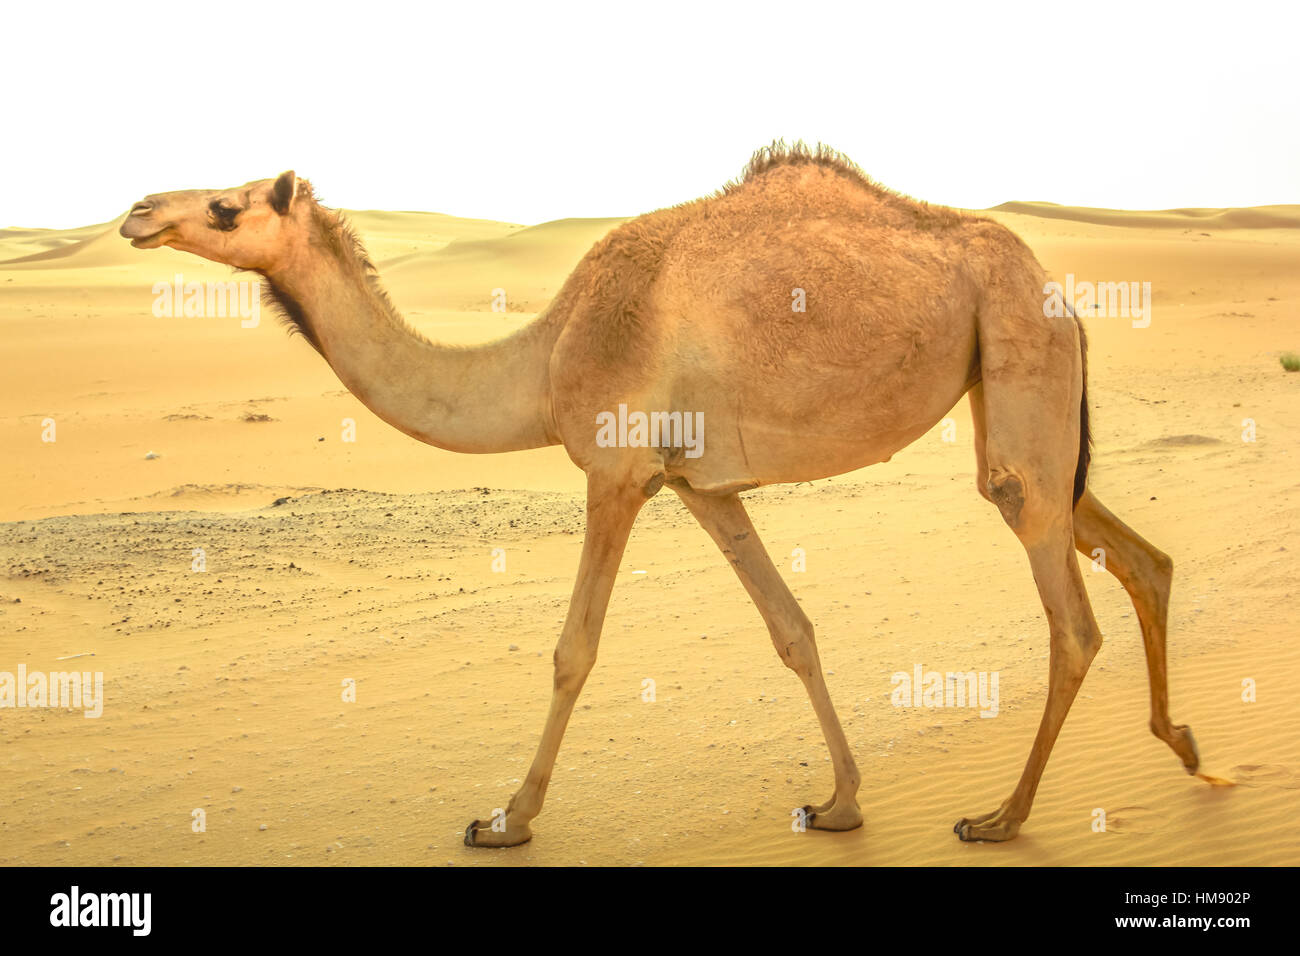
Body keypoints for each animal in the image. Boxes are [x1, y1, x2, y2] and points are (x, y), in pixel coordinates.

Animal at [119, 142, 1200, 848]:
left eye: (227, 206)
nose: (138, 212)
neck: (543, 358)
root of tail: (1060, 292)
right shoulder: (697, 484)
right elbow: (792, 629)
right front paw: (841, 800)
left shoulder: (614, 471)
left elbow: (574, 649)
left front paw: (507, 816)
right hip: (1023, 408)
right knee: (1138, 553)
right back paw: (1187, 747)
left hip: (1019, 359)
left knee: (1068, 613)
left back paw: (1003, 815)